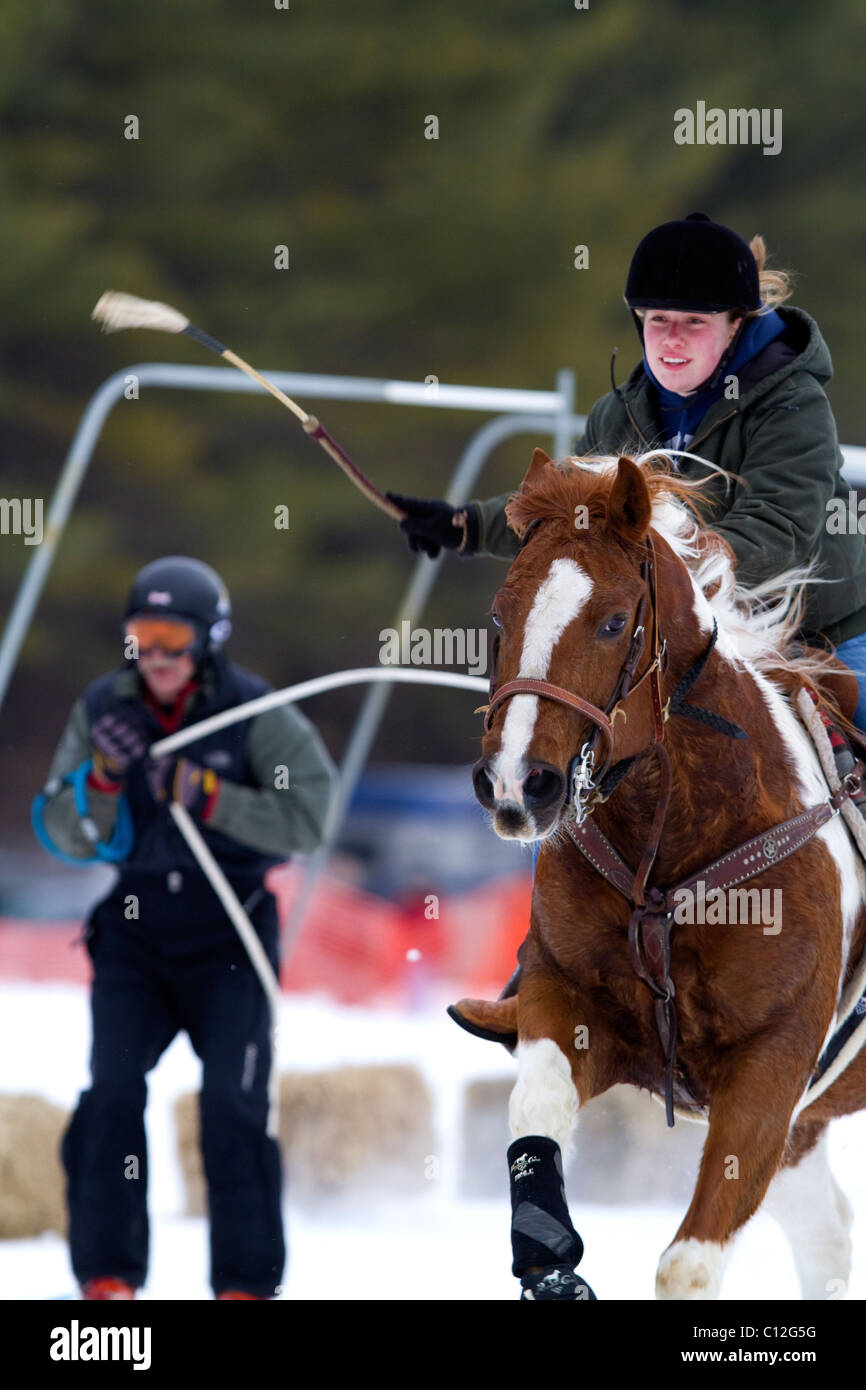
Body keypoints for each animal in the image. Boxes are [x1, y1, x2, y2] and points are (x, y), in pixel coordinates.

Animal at [464, 446, 866, 1301]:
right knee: (828, 1240)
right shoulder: (572, 1005)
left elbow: (688, 1265)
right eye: (499, 617)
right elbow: (538, 1106)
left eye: (615, 621)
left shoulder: (772, 1069)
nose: (517, 784)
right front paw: (548, 1258)